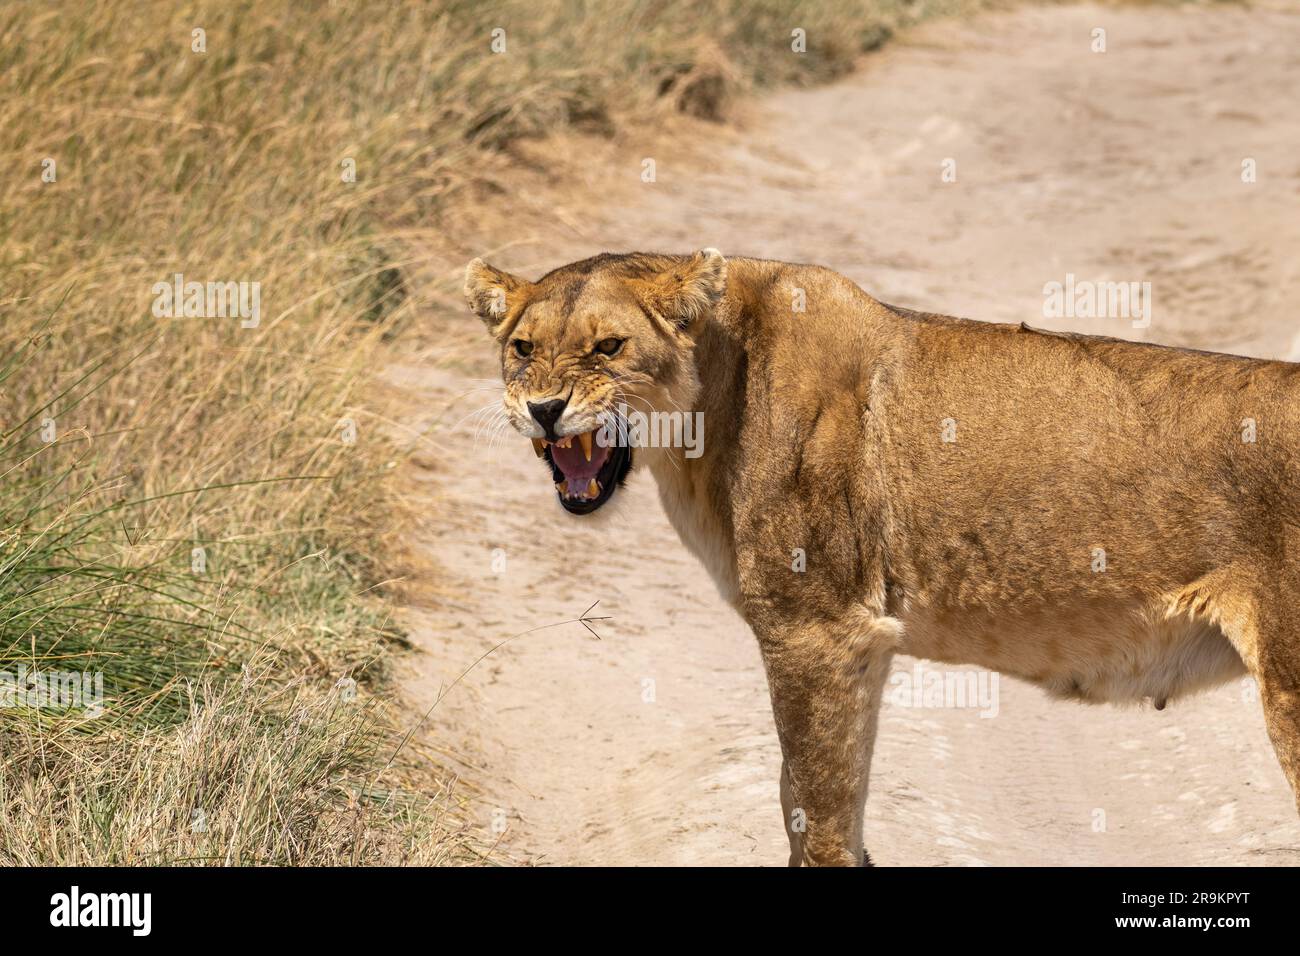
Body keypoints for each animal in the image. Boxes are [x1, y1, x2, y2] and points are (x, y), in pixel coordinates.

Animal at [465, 249, 1300, 866]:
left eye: (608, 346)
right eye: (523, 349)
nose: (544, 410)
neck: (703, 415)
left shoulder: (818, 629)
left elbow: (818, 807)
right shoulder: (858, 639)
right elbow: (813, 797)